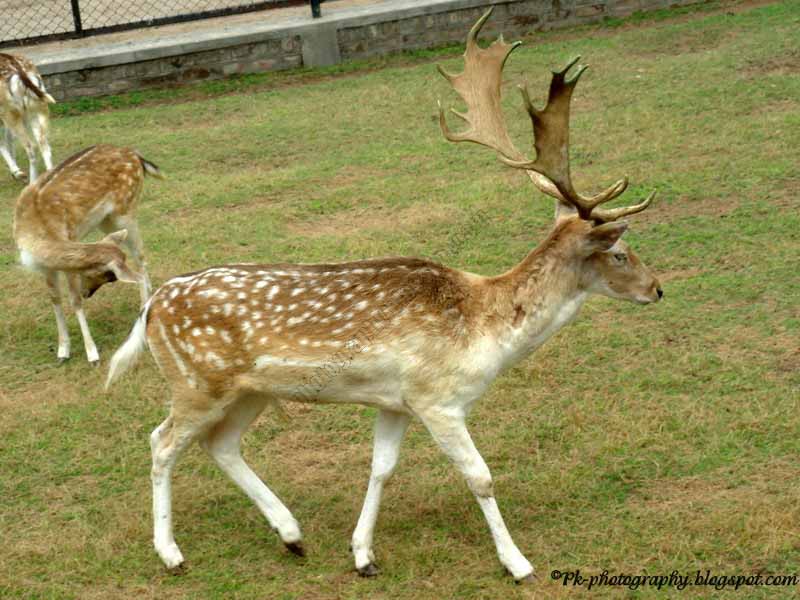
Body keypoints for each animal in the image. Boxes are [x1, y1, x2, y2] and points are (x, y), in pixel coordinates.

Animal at [0, 52, 55, 182]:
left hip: (11, 112)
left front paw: (16, 172)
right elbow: (8, 138)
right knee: (43, 143)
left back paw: (31, 180)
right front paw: (16, 172)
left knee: (31, 146)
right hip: (36, 108)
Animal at [14, 144, 161, 364]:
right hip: (107, 221)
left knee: (141, 257)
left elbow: (75, 301)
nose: (87, 292)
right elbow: (55, 298)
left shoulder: (70, 244)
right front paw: (63, 351)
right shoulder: (45, 266)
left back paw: (143, 304)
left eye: (111, 278)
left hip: (125, 212)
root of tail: (136, 155)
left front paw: (92, 354)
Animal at [104, 9, 662, 582]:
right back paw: (171, 552)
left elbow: (382, 469)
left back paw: (292, 534)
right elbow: (480, 476)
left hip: (249, 389)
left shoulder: (396, 400)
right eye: (621, 253)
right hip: (197, 382)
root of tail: (151, 306)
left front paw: (363, 554)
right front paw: (518, 562)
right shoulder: (439, 399)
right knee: (161, 442)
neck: (486, 329)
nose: (658, 289)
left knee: (221, 444)